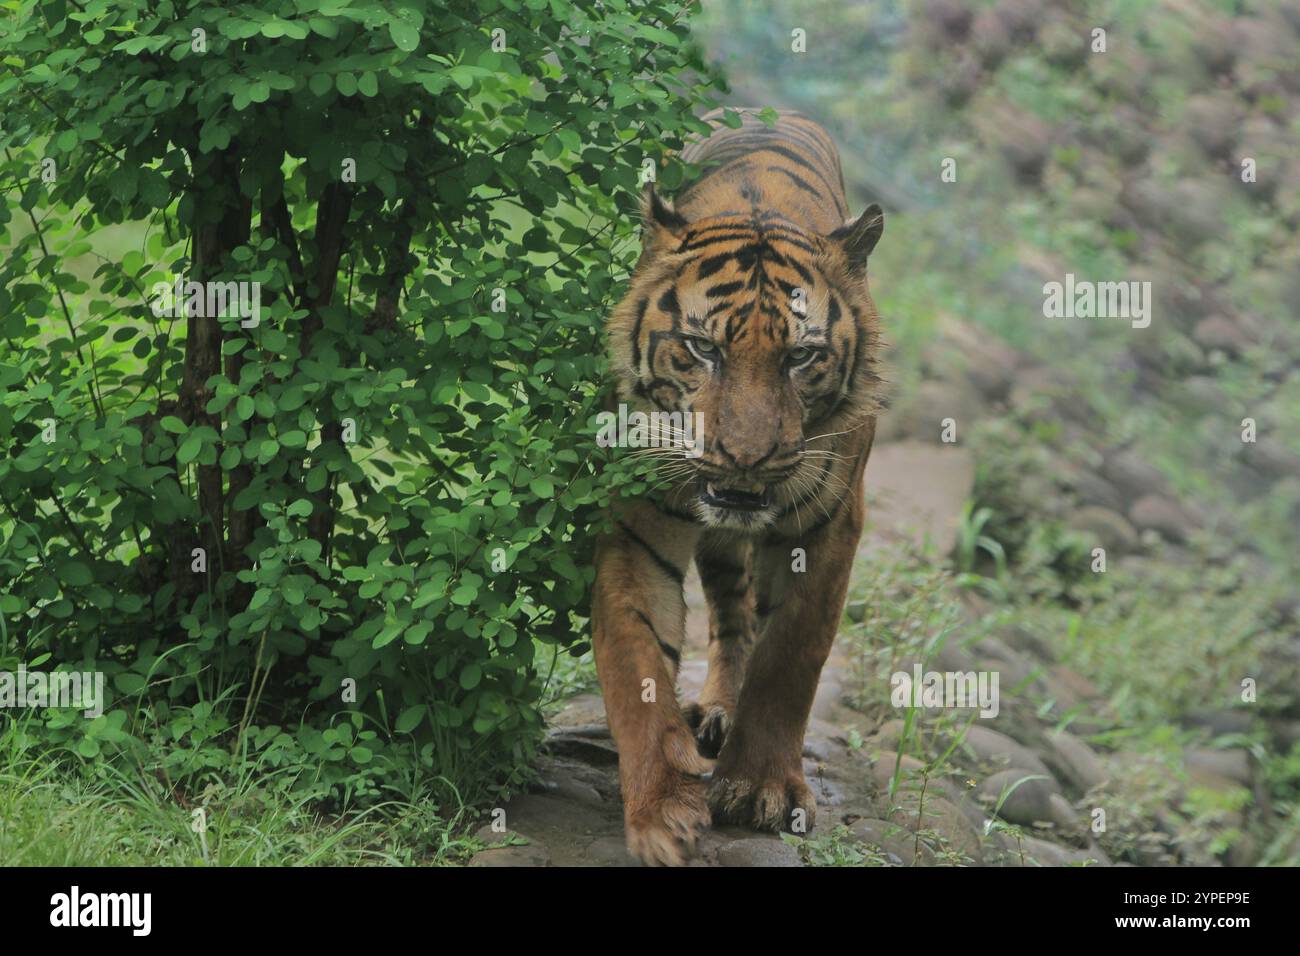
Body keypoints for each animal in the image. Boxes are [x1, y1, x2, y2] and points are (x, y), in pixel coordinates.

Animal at [591, 108, 886, 866]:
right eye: (704, 349)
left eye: (801, 357)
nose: (746, 459)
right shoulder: (636, 522)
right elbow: (635, 661)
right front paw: (662, 811)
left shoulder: (831, 524)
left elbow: (789, 657)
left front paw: (759, 787)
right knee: (729, 614)